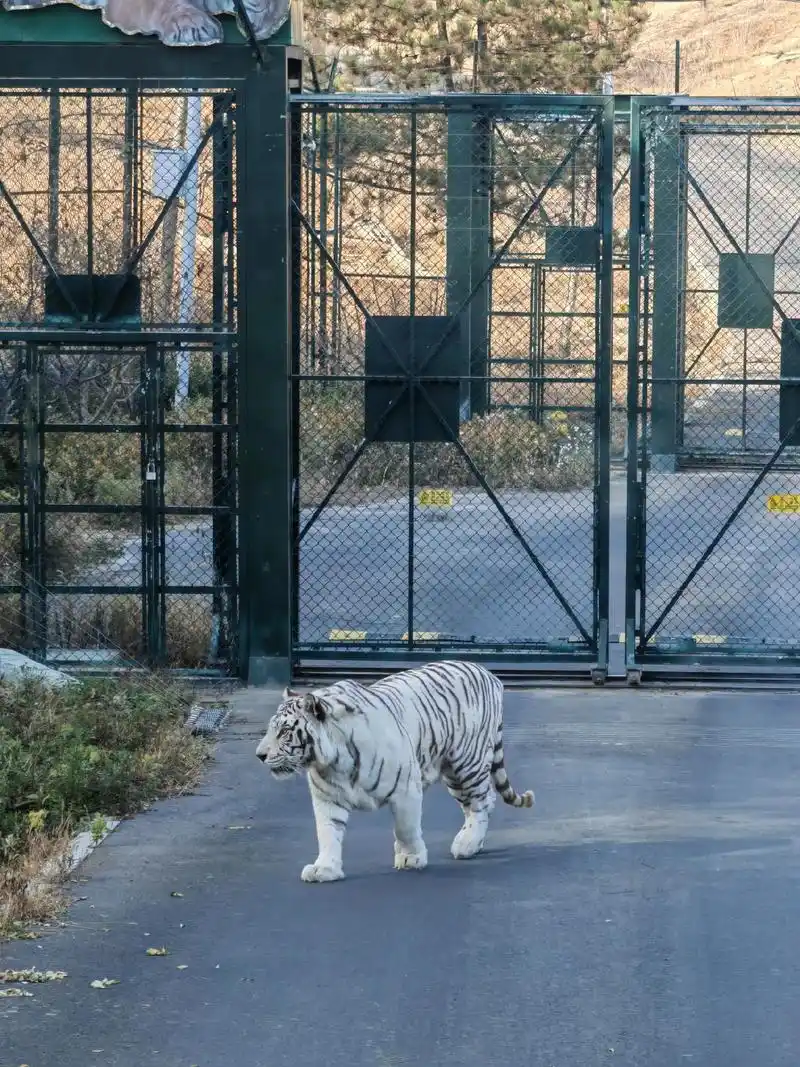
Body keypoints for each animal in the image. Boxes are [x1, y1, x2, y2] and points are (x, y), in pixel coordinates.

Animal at [255, 661, 535, 883]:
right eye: (271, 729)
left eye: (284, 732)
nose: (259, 755)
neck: (332, 761)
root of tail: (487, 673)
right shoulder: (327, 799)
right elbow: (327, 832)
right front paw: (325, 869)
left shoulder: (406, 789)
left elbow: (405, 827)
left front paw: (411, 857)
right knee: (478, 803)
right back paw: (471, 842)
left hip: (465, 764)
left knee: (481, 801)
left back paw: (467, 844)